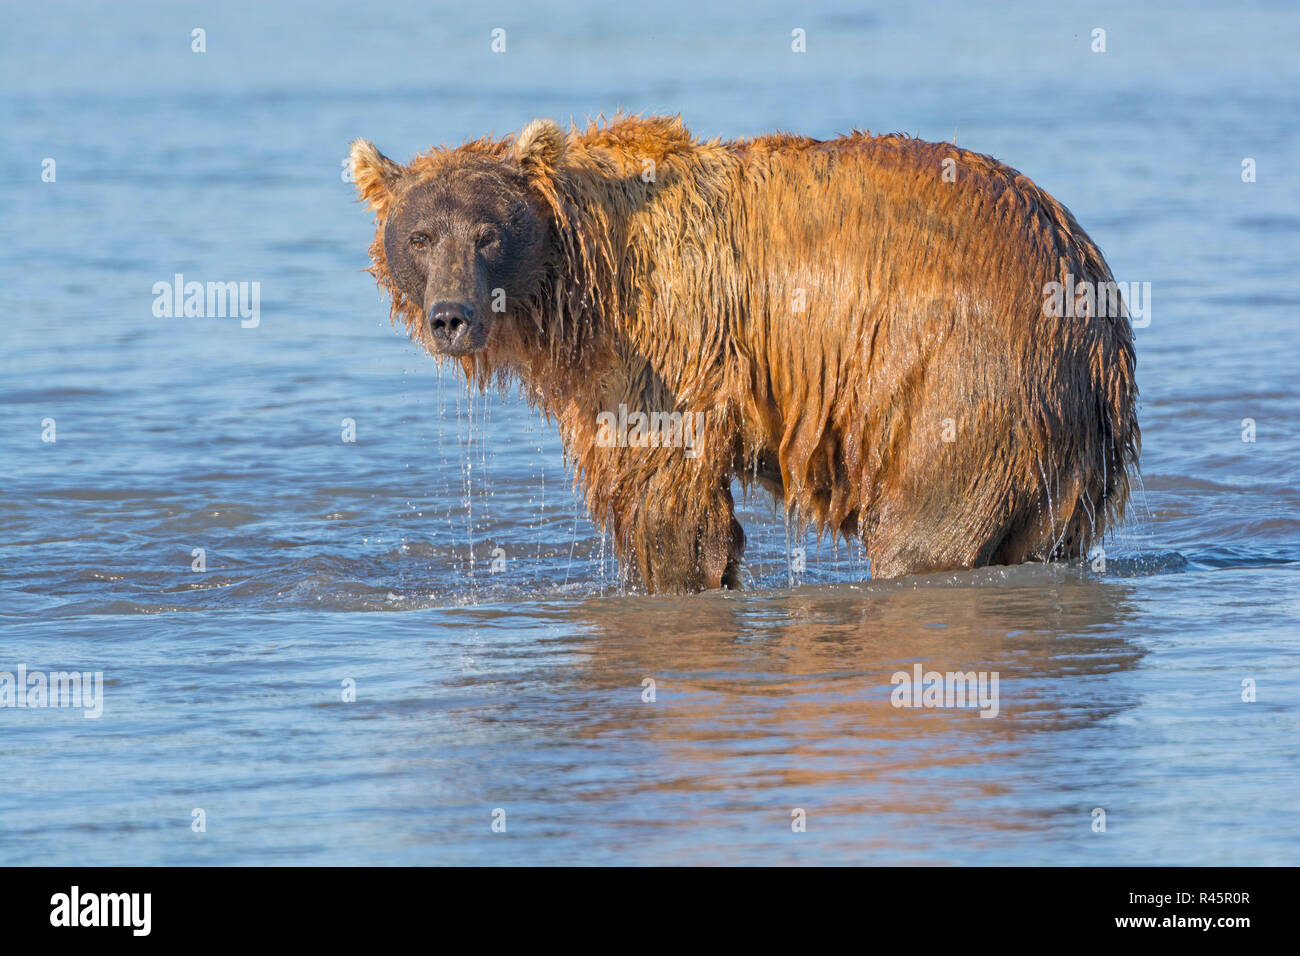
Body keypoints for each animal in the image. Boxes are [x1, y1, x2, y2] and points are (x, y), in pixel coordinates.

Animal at [350, 115, 1139, 594]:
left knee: (924, 529)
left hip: (955, 378)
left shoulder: (664, 344)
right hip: (1066, 453)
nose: (451, 316)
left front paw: (680, 577)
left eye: (486, 233)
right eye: (420, 236)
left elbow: (662, 488)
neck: (578, 278)